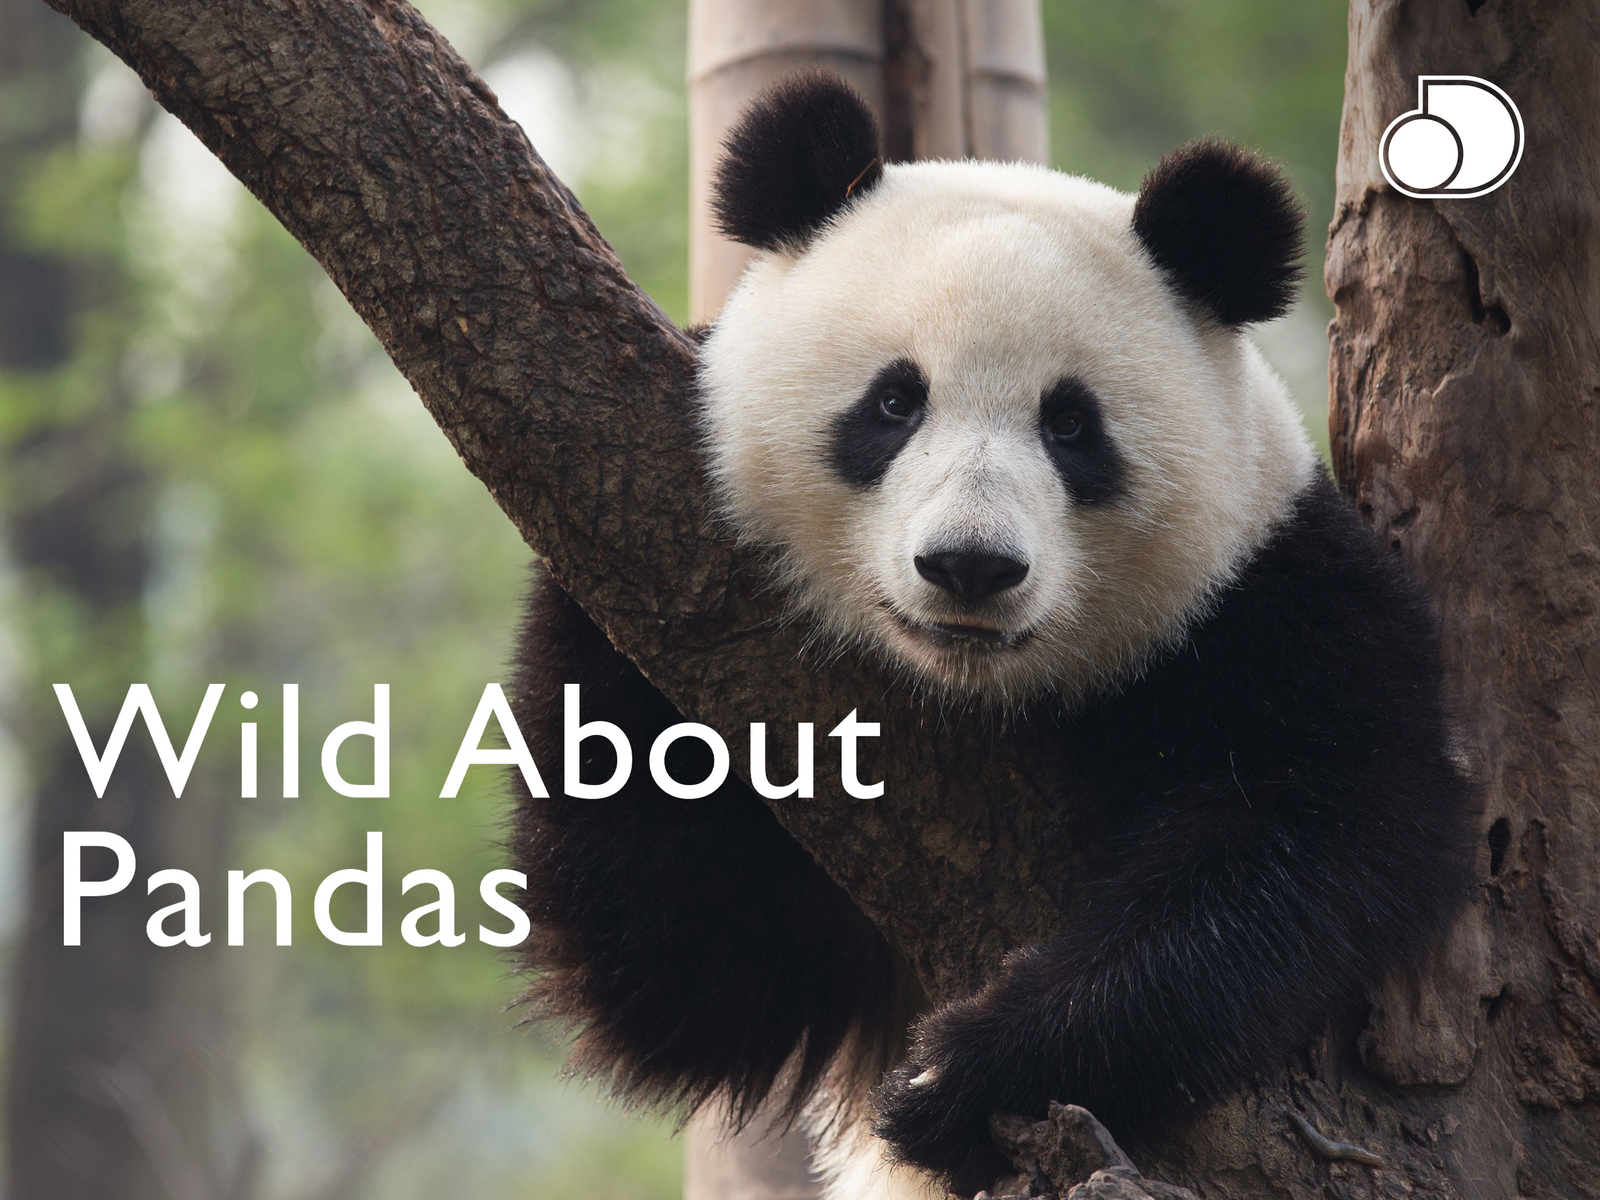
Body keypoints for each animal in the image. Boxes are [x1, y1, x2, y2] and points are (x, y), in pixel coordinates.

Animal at [509, 72, 1473, 1200]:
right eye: (893, 401)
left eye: (1070, 425)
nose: (970, 566)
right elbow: (694, 969)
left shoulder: (1269, 599)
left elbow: (1319, 827)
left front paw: (974, 1071)